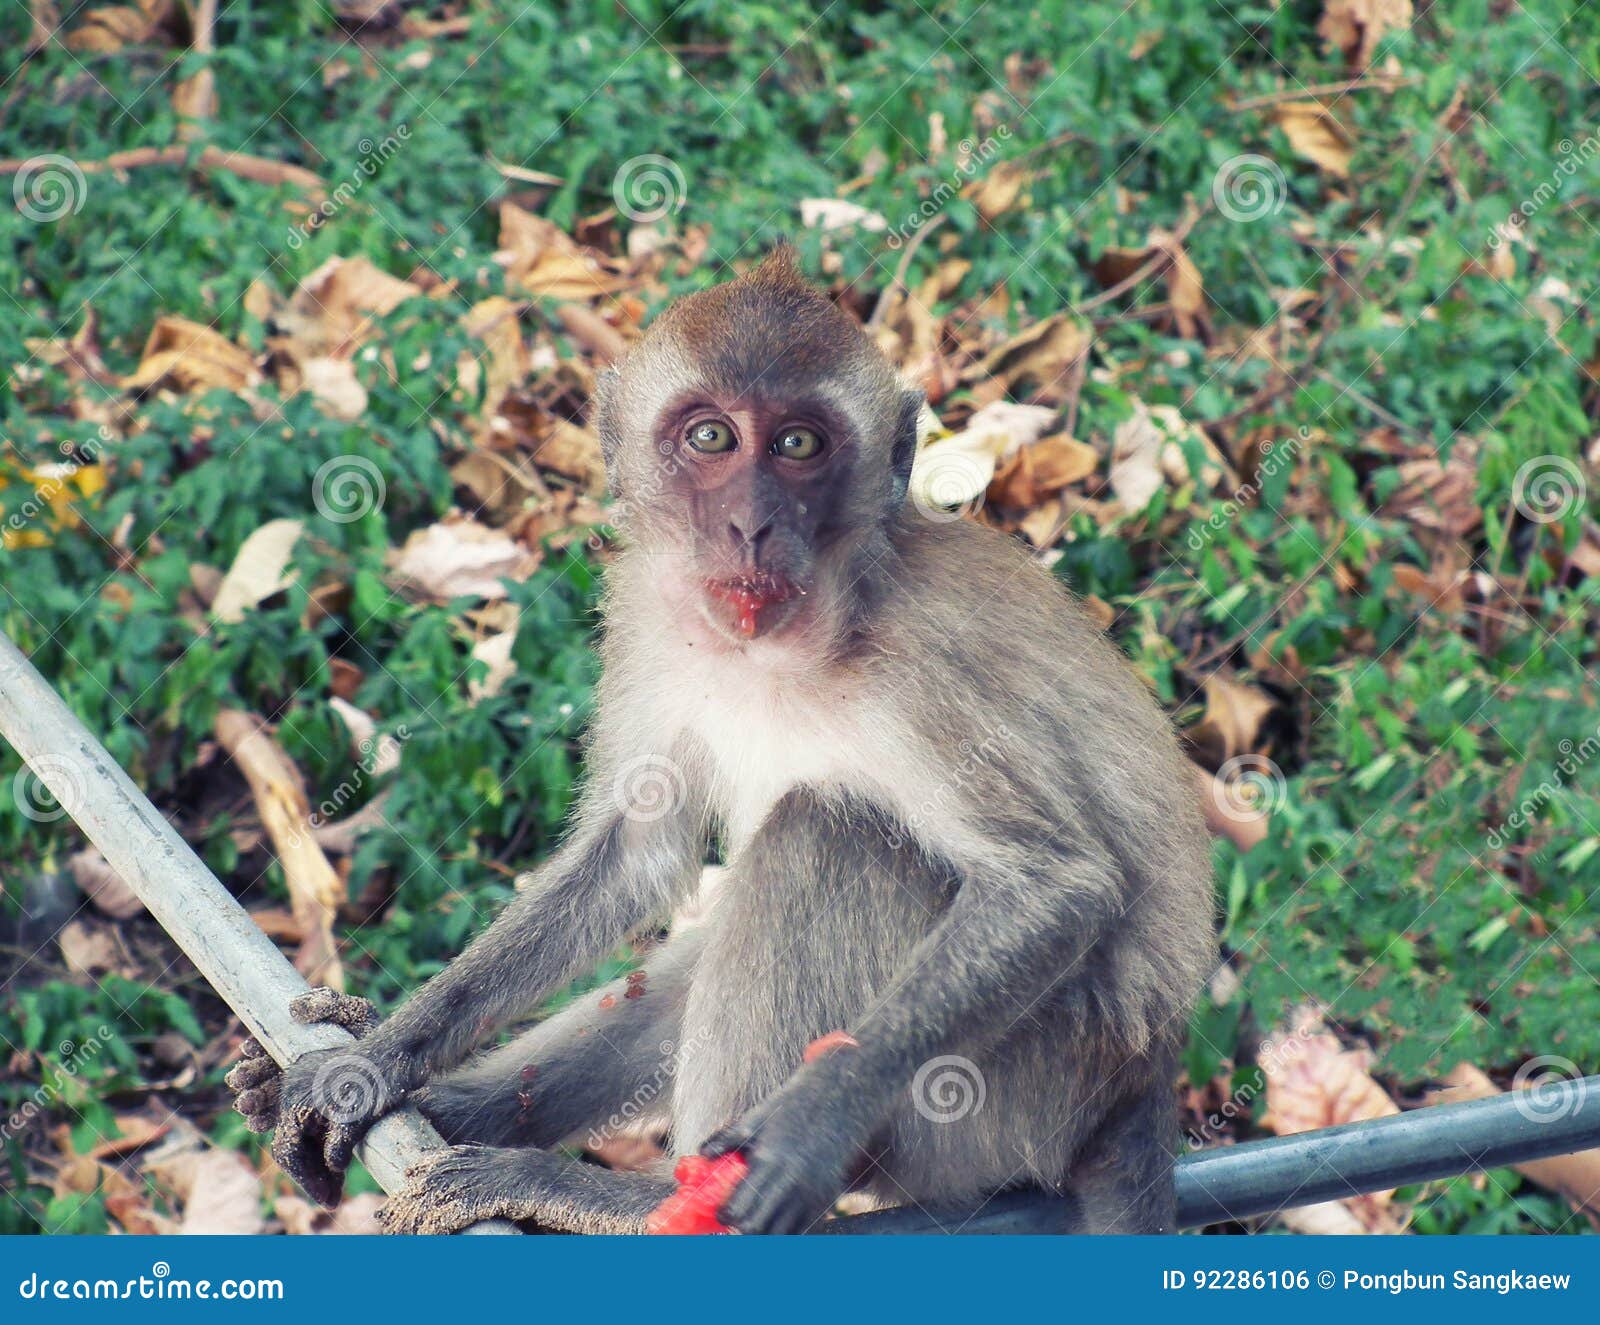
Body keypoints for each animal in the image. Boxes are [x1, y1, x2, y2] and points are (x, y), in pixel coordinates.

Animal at [228, 247, 1215, 1235]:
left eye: (798, 446)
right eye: (711, 438)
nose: (750, 524)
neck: (792, 639)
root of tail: (1144, 1087)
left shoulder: (922, 666)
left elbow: (1057, 885)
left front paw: (811, 1121)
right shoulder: (649, 617)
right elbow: (634, 857)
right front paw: (383, 1061)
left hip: (1012, 1097)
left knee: (828, 834)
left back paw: (640, 1201)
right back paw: (462, 1110)